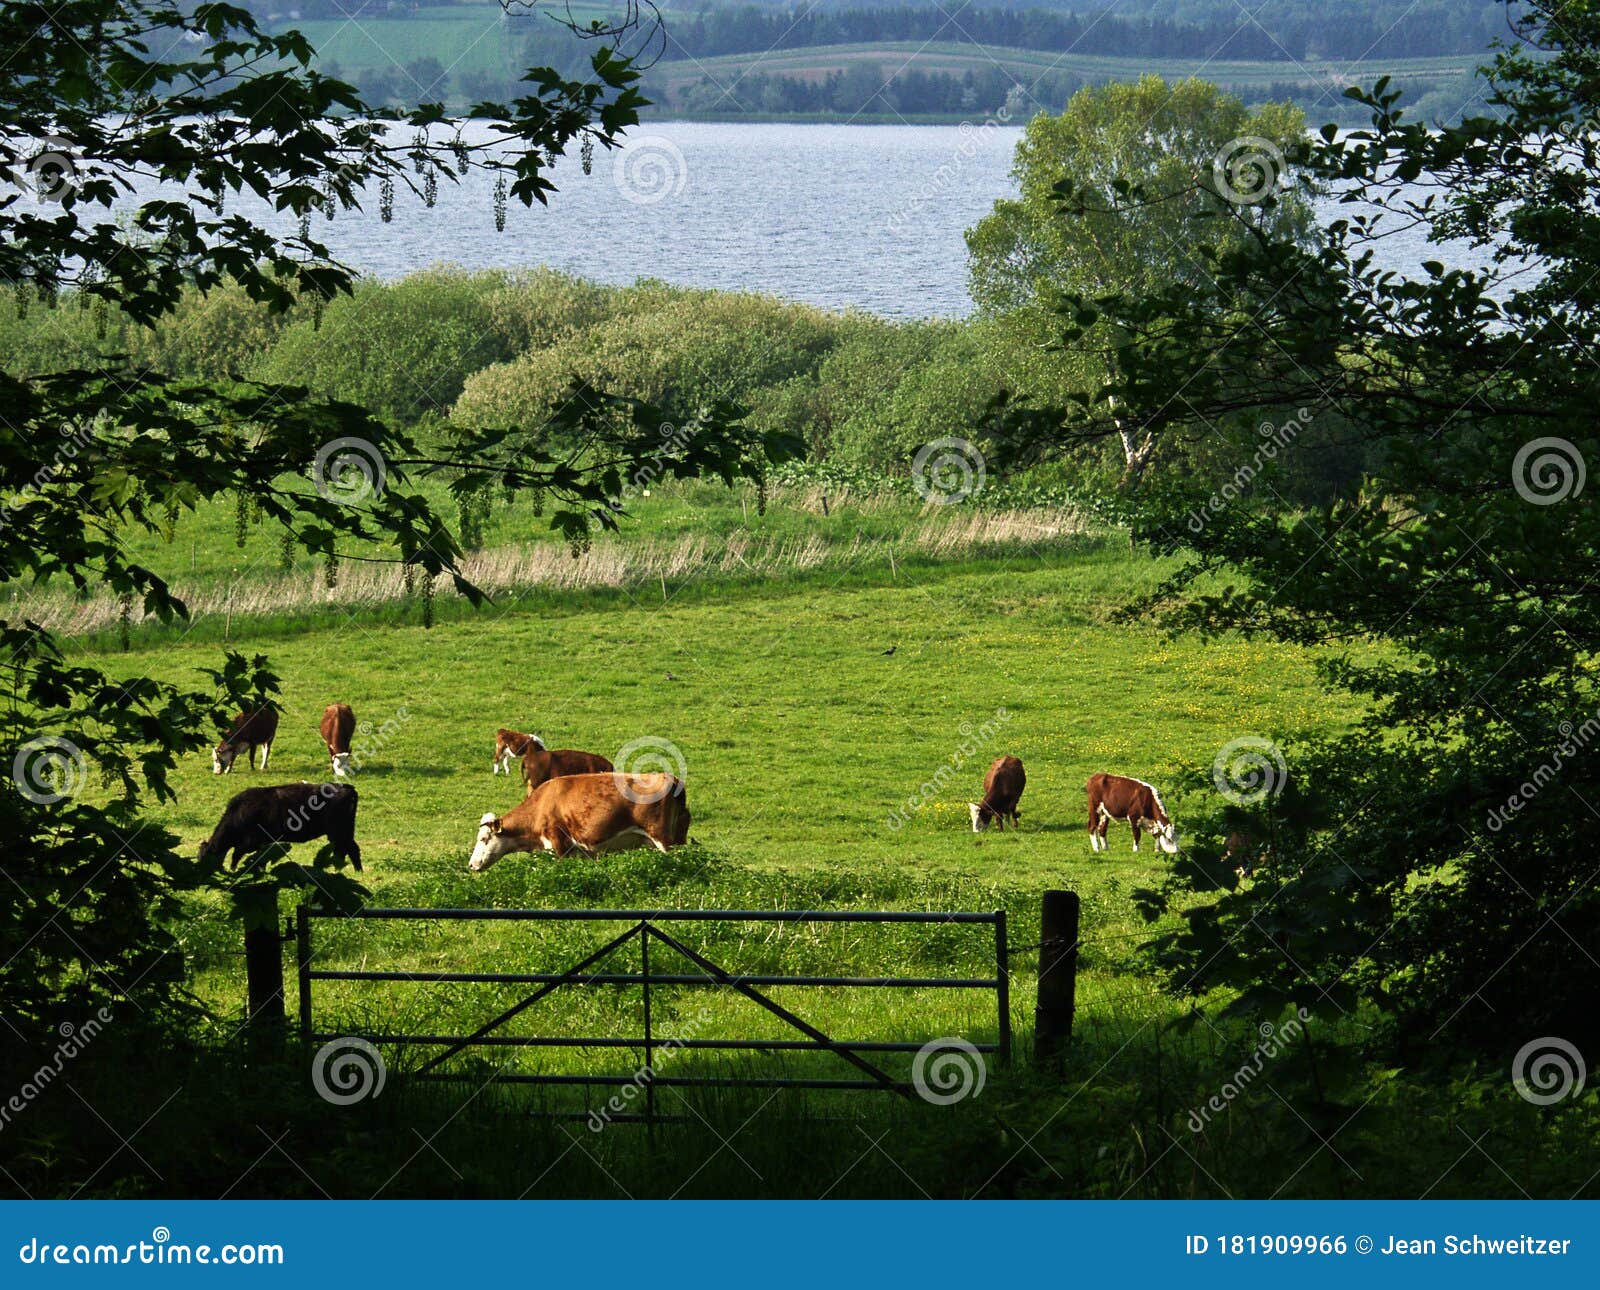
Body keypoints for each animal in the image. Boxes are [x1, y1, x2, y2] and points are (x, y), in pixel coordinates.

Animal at [198, 782, 362, 871]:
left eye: (203, 860)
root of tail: (347, 788)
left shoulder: (250, 842)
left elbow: (235, 856)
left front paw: (233, 872)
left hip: (340, 832)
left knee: (350, 850)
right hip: (343, 833)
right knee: (345, 851)